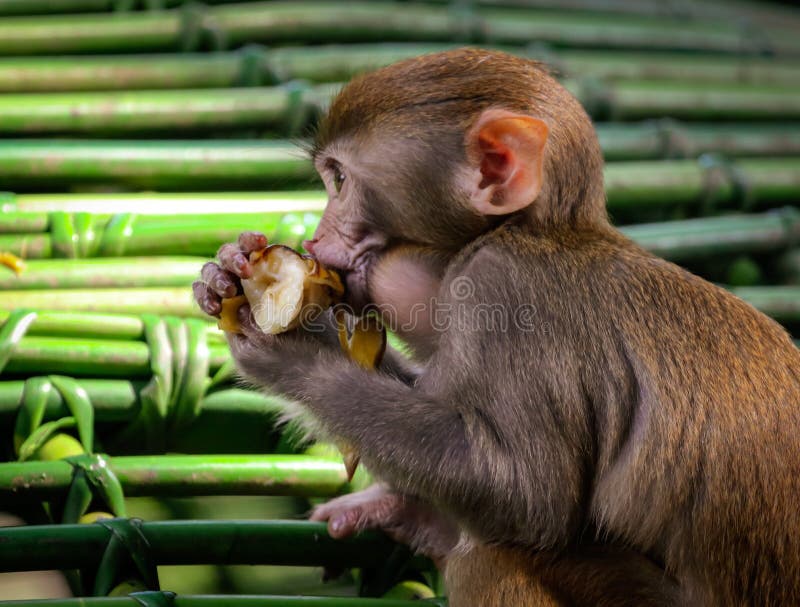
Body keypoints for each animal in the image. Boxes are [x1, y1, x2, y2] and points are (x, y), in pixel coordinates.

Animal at [193, 48, 800, 605]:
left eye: (339, 179)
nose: (315, 238)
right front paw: (230, 274)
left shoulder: (502, 293)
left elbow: (525, 497)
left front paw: (299, 357)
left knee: (497, 551)